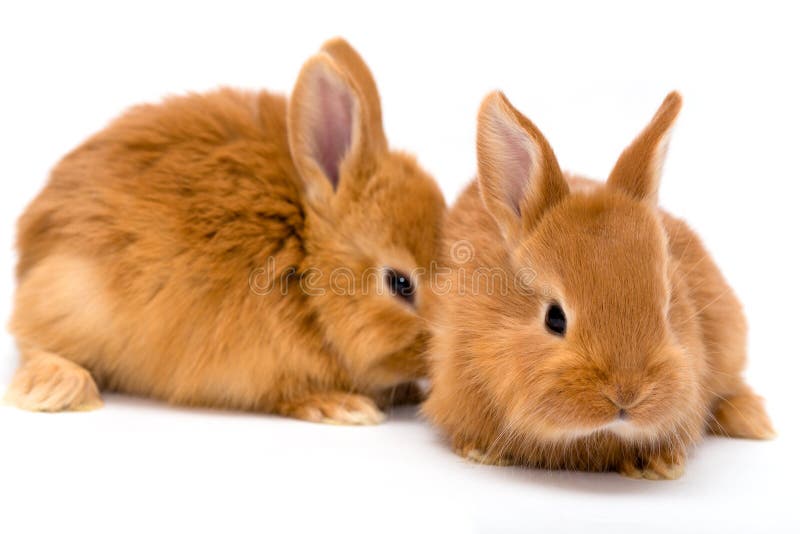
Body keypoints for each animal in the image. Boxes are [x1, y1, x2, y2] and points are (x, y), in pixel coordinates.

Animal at [5, 38, 445, 425]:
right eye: (400, 283)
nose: (440, 353)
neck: (306, 257)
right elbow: (287, 393)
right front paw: (341, 407)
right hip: (74, 298)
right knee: (34, 342)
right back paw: (56, 386)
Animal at [422, 91, 774, 479]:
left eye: (668, 311)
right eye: (554, 318)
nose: (627, 393)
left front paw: (659, 464)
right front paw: (482, 452)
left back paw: (754, 421)